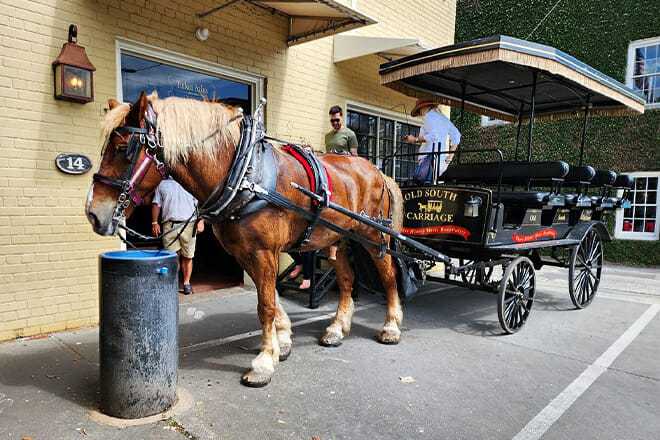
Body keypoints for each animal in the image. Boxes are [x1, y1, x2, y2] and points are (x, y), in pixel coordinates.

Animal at [86, 91, 404, 387]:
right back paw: (337, 328)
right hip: (337, 237)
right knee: (347, 278)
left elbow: (265, 305)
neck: (243, 175)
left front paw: (263, 362)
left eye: (123, 149)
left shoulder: (264, 251)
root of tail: (377, 171)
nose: (93, 213)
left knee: (388, 274)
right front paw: (282, 341)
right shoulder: (246, 252)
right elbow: (271, 298)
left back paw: (391, 326)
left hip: (373, 235)